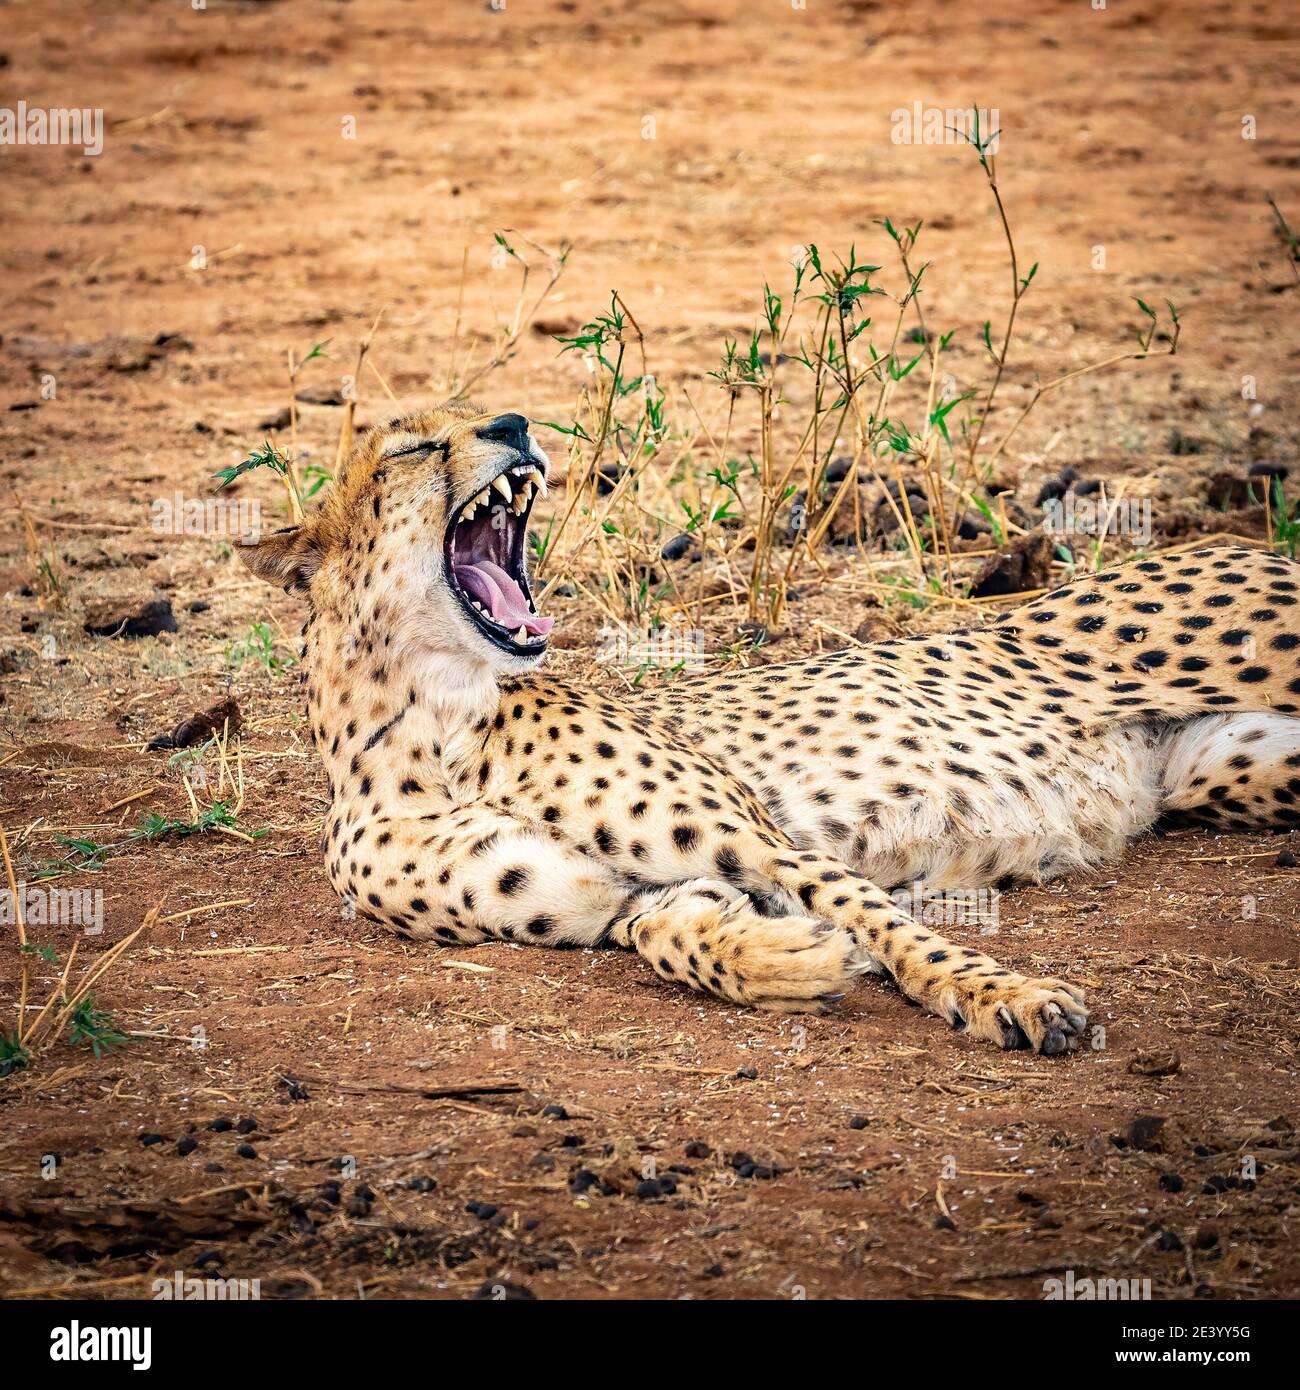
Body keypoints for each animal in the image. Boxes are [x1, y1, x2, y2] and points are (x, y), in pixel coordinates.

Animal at [240, 401, 1300, 1056]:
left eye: (481, 419)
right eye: (410, 450)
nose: (514, 424)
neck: (434, 727)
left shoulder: (765, 840)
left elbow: (899, 929)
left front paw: (1008, 997)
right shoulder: (613, 899)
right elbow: (670, 933)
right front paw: (783, 960)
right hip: (1231, 770)